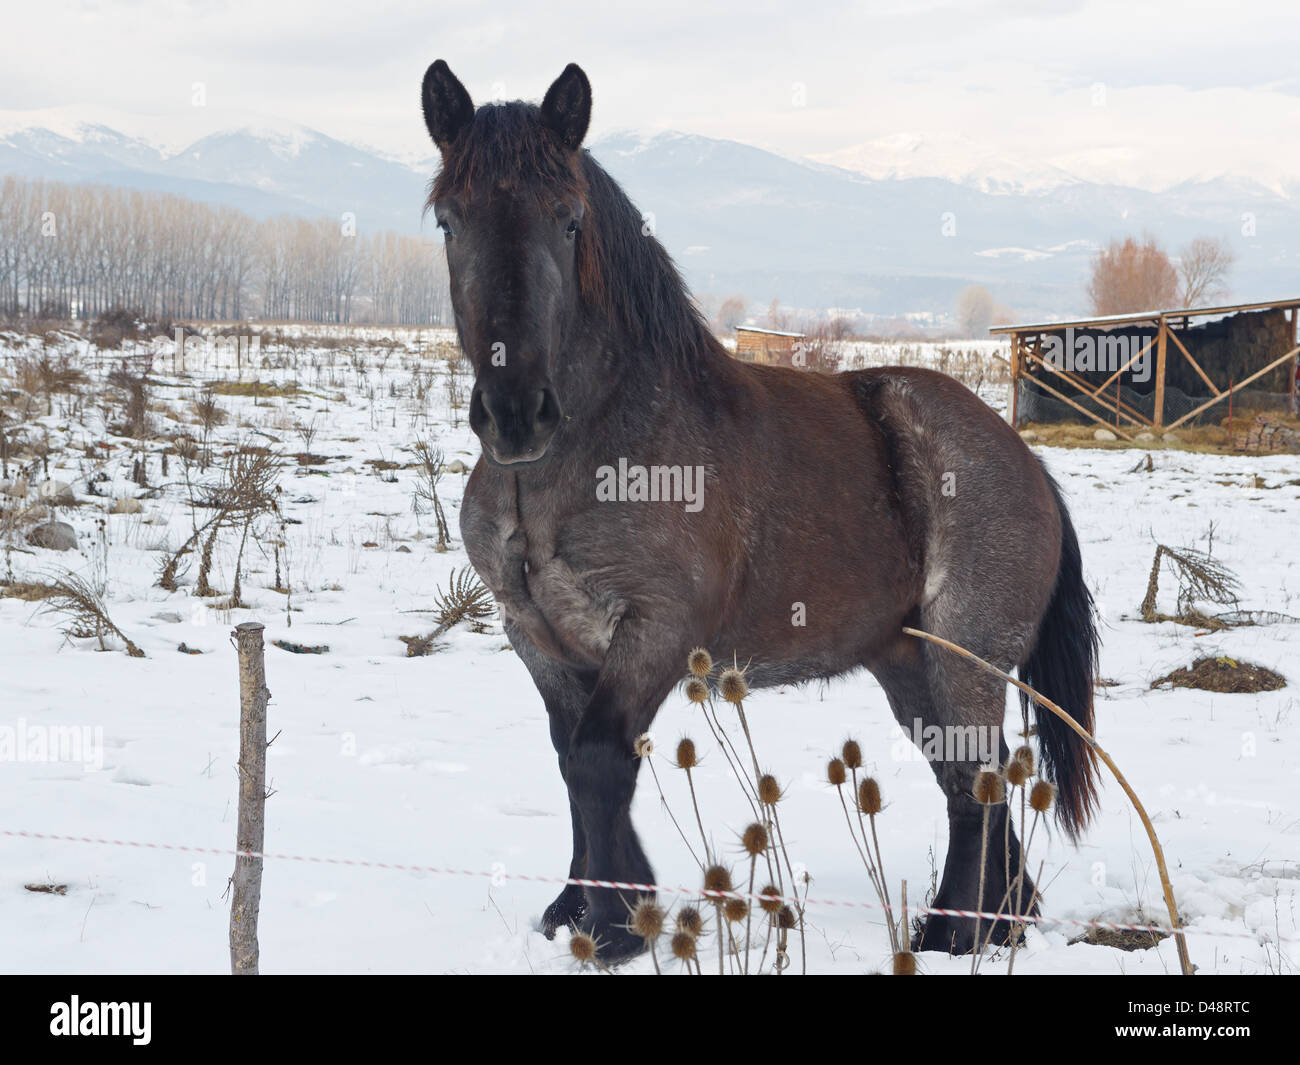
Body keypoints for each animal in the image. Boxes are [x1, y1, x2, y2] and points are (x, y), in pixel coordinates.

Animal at [420, 59, 1100, 963]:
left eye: (568, 221)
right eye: (449, 221)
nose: (515, 411)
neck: (586, 448)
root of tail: (1026, 460)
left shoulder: (658, 627)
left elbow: (600, 759)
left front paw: (620, 919)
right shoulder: (536, 635)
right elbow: (571, 761)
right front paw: (578, 905)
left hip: (966, 654)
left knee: (975, 781)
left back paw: (953, 930)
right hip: (907, 661)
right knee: (967, 778)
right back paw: (1001, 918)